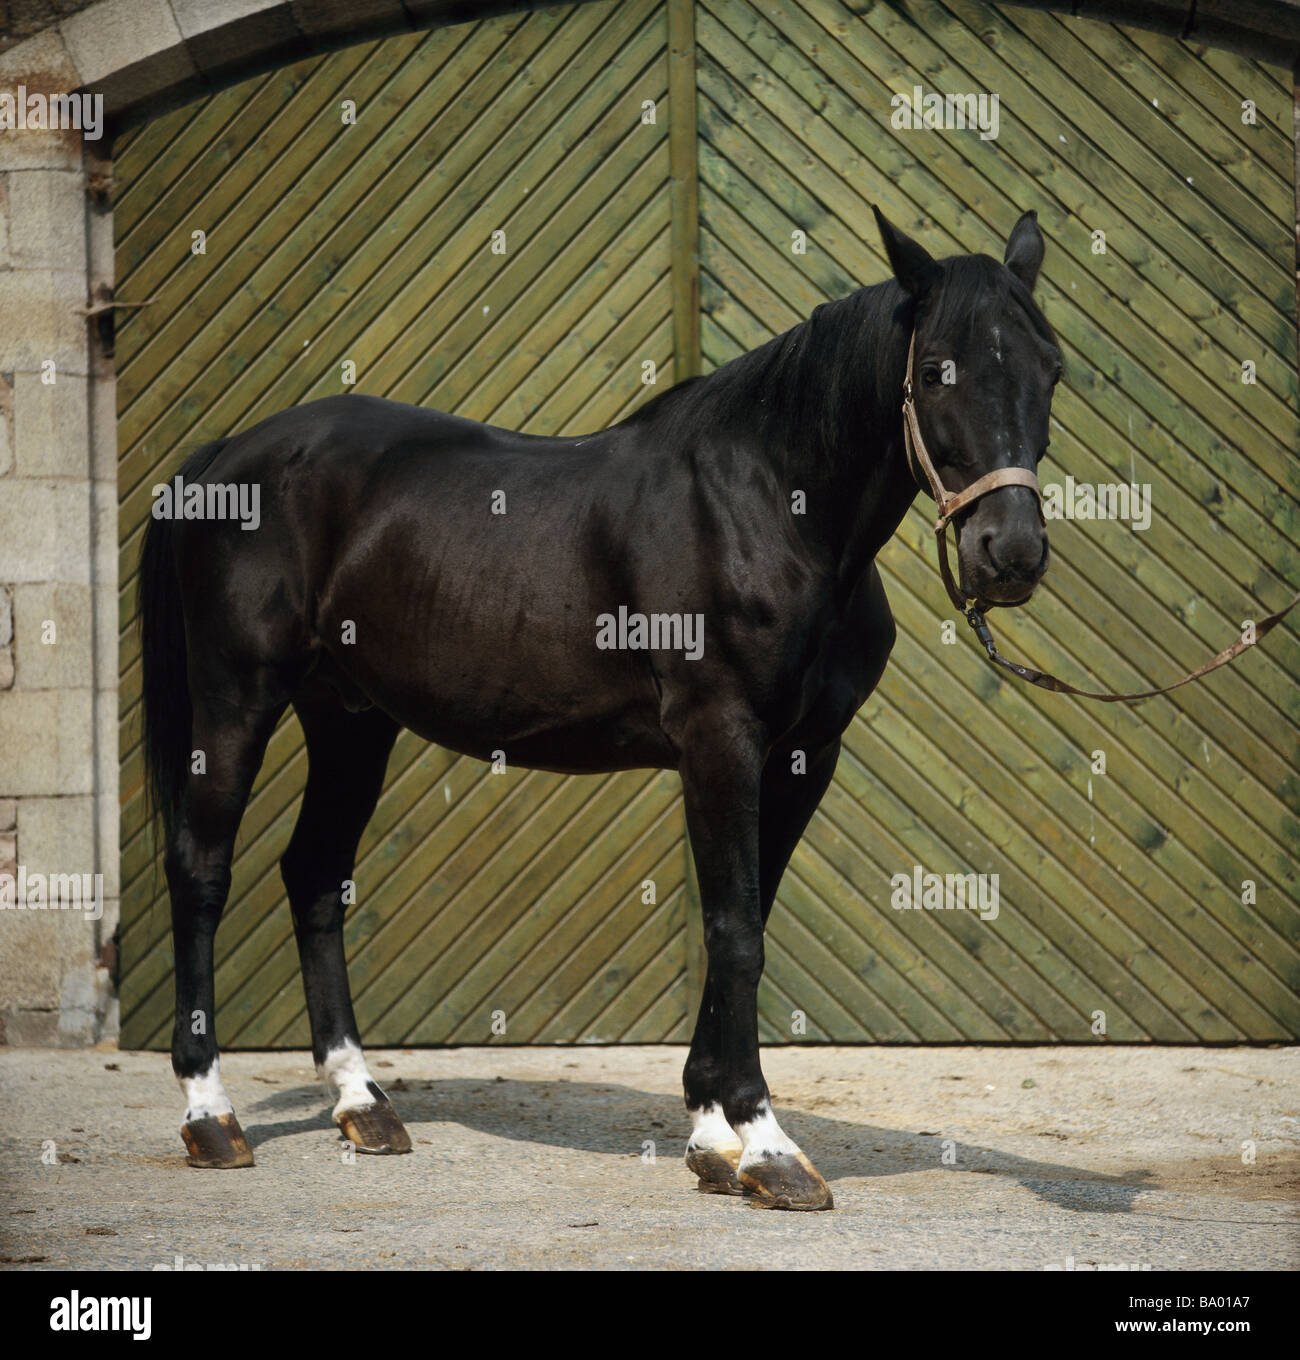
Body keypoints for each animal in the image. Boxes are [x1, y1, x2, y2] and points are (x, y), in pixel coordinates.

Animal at [137, 206, 1059, 1210]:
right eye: (936, 373)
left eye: (1050, 367)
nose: (1010, 553)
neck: (769, 509)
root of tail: (228, 456)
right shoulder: (721, 742)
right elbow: (736, 932)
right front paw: (767, 1147)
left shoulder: (806, 754)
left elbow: (746, 919)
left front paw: (711, 1136)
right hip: (239, 700)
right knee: (201, 871)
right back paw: (209, 1115)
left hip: (351, 717)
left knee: (312, 873)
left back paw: (363, 1105)